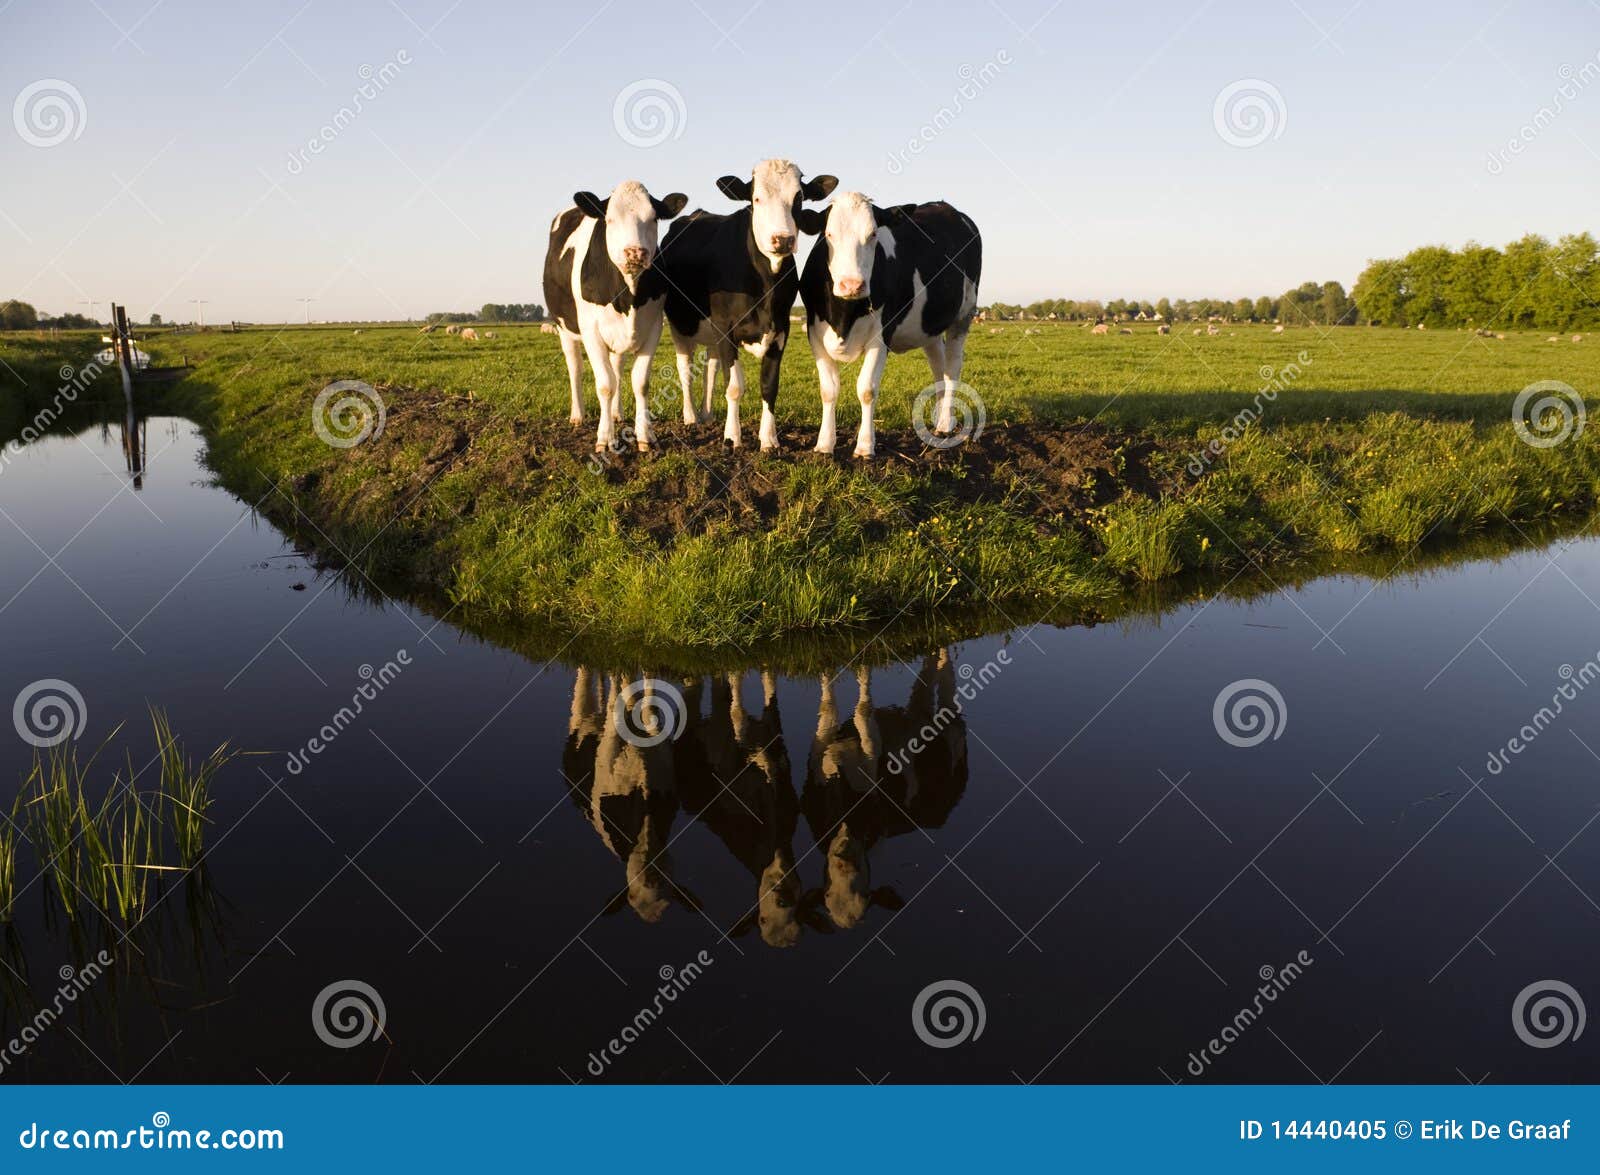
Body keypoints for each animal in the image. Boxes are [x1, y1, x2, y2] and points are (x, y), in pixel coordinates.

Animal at [543, 180, 689, 451]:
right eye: (609, 219)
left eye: (653, 218)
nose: (635, 252)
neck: (628, 295)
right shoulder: (591, 330)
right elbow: (605, 385)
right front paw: (604, 438)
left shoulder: (653, 326)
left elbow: (640, 382)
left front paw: (644, 436)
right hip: (563, 328)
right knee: (575, 368)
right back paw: (578, 415)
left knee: (617, 368)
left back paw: (616, 413)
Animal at [654, 159, 837, 449]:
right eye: (757, 198)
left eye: (798, 199)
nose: (783, 239)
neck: (765, 281)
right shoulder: (726, 327)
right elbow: (734, 386)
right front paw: (733, 437)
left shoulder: (780, 329)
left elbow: (769, 386)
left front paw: (769, 439)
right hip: (680, 325)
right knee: (685, 370)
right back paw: (691, 417)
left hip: (712, 333)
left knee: (711, 368)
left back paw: (707, 415)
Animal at [797, 193, 981, 457]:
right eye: (828, 235)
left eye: (873, 234)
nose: (851, 285)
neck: (844, 317)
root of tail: (948, 208)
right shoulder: (815, 335)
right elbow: (828, 390)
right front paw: (824, 445)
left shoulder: (881, 336)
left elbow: (866, 390)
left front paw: (865, 446)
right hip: (929, 325)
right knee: (939, 367)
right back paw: (938, 420)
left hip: (963, 315)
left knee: (953, 367)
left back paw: (945, 424)